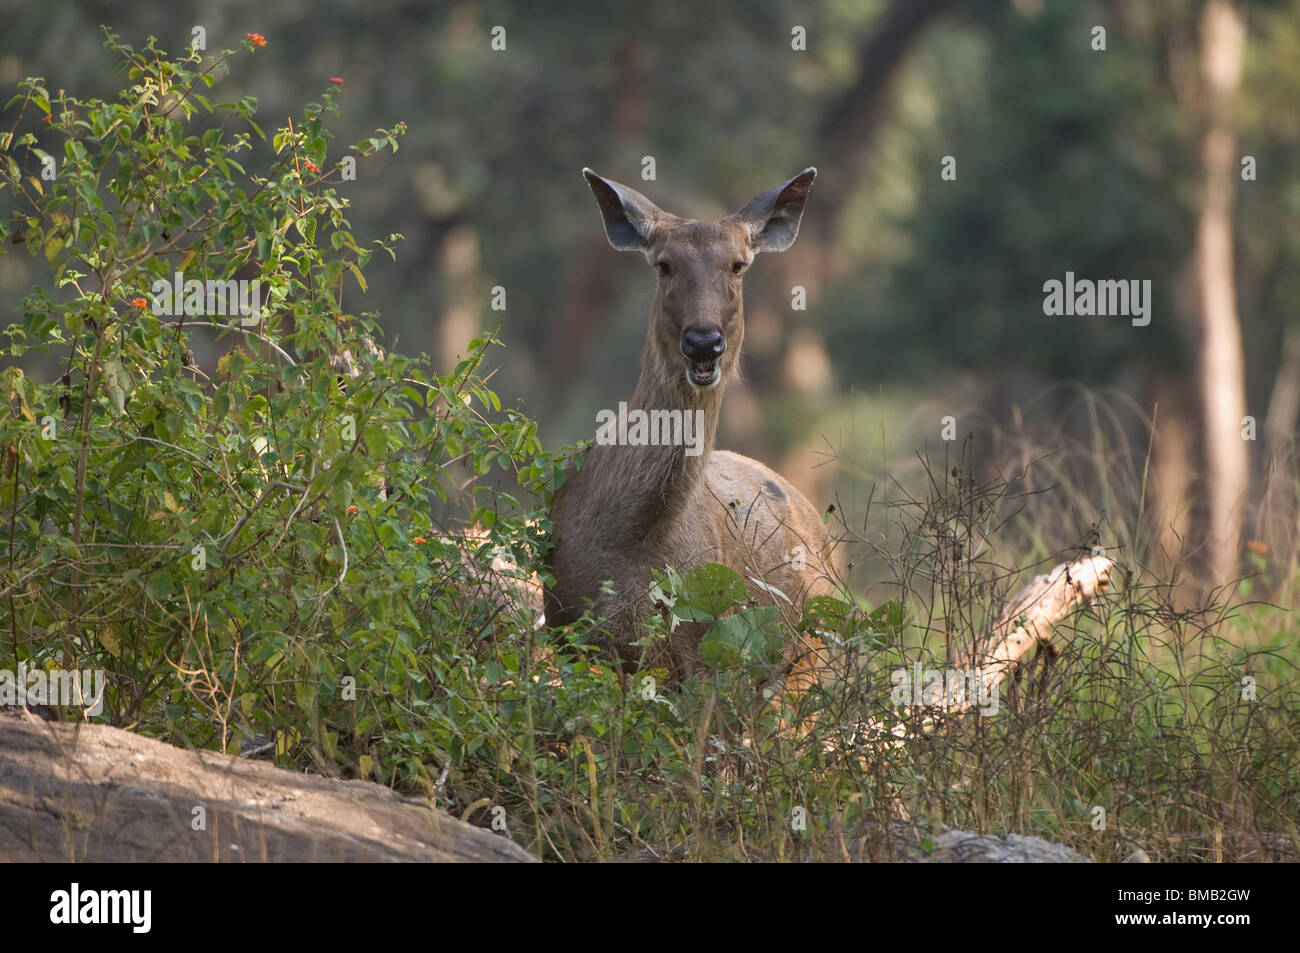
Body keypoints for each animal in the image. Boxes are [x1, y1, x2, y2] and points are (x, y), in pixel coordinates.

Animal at [544, 168, 840, 710]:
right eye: (663, 265)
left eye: (738, 265)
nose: (704, 342)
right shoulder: (568, 633)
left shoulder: (703, 651)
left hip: (809, 664)